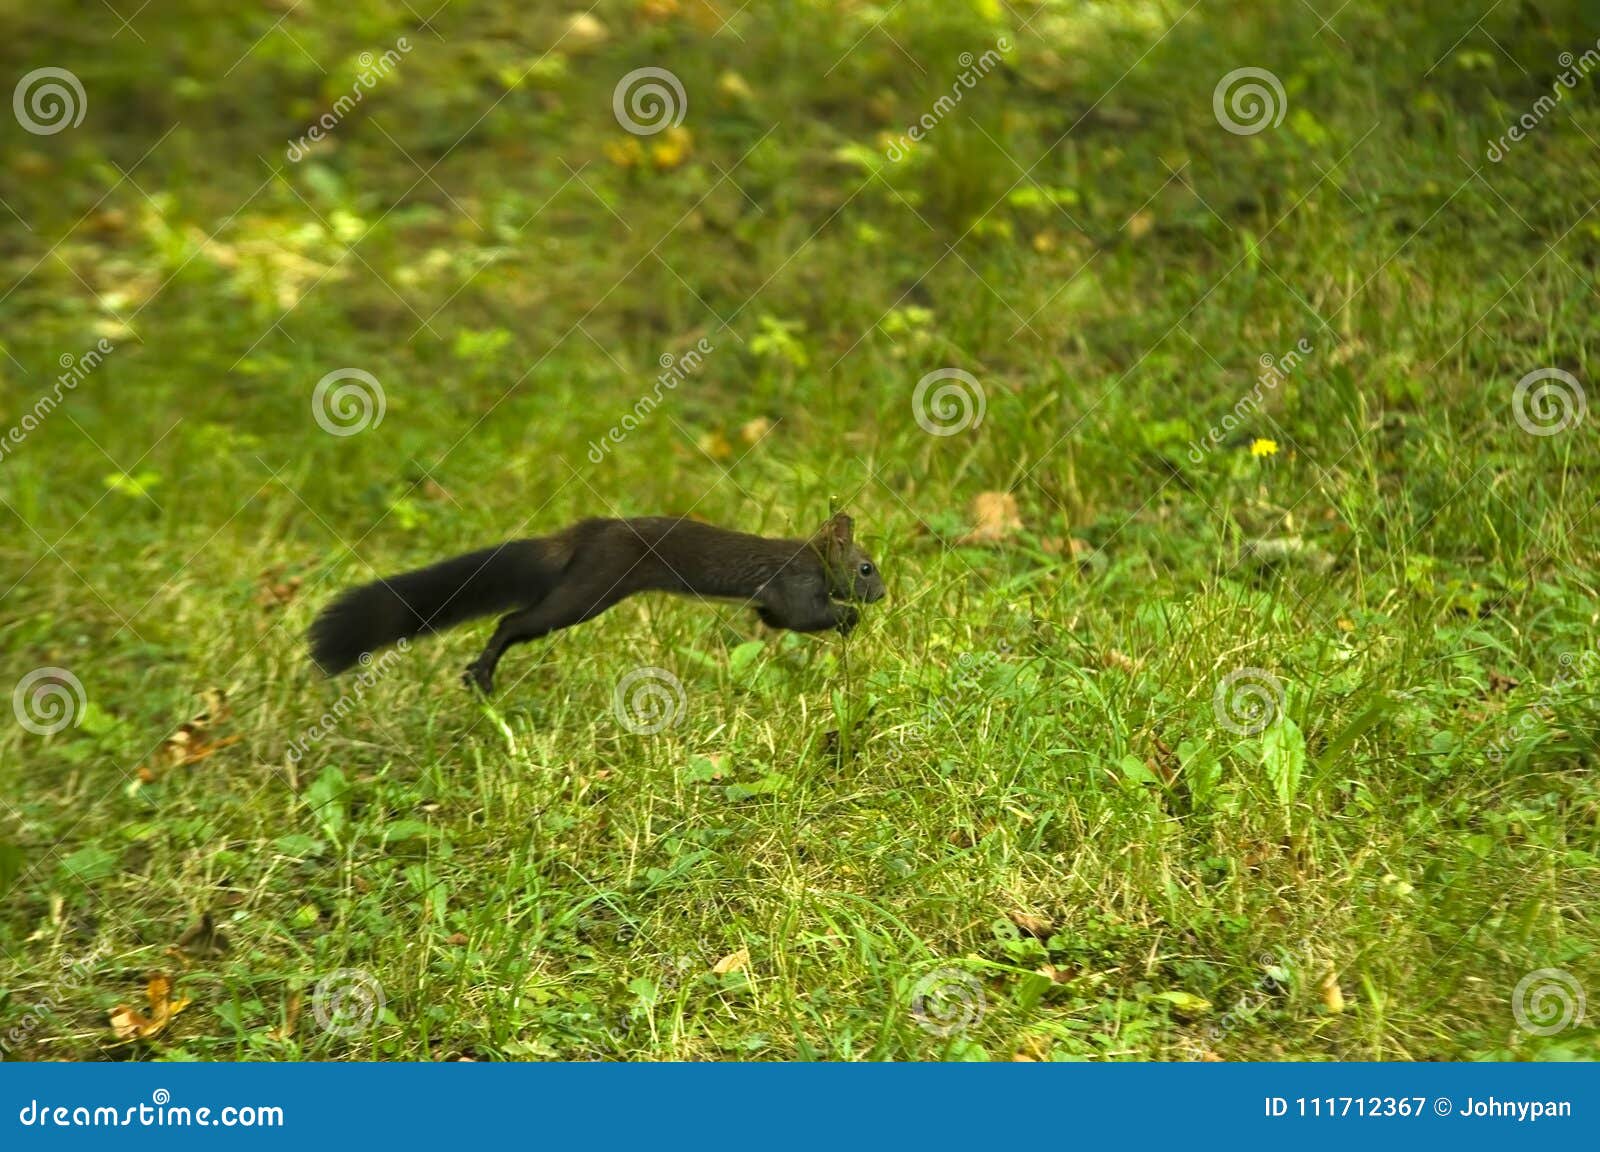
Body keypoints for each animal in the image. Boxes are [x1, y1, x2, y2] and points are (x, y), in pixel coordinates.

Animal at [308, 512, 886, 694]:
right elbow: (801, 616)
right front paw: (849, 619)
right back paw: (482, 673)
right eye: (867, 567)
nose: (883, 593)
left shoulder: (770, 605)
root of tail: (586, 531)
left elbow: (770, 618)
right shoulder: (794, 588)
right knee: (513, 619)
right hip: (590, 591)